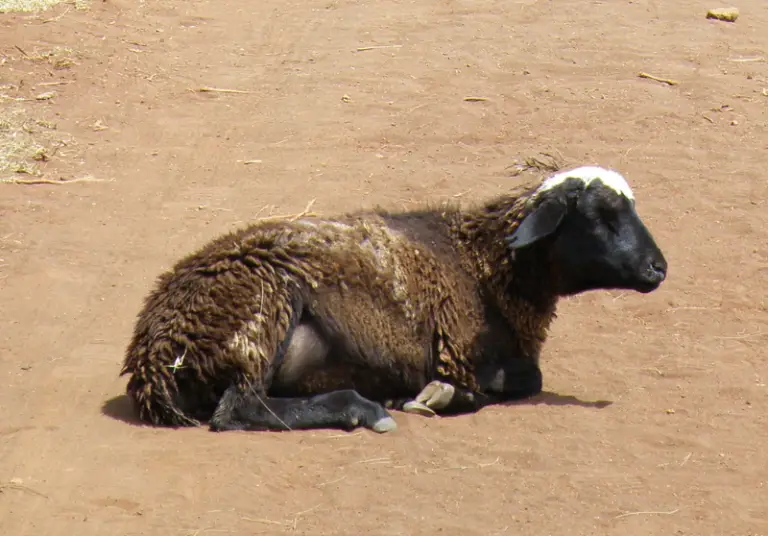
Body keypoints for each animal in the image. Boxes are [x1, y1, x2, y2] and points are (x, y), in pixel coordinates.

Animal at [119, 165, 668, 434]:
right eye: (599, 215)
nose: (658, 268)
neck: (481, 262)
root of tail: (151, 353)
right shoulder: (458, 350)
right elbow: (521, 380)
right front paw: (438, 396)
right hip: (263, 308)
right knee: (239, 409)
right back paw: (363, 409)